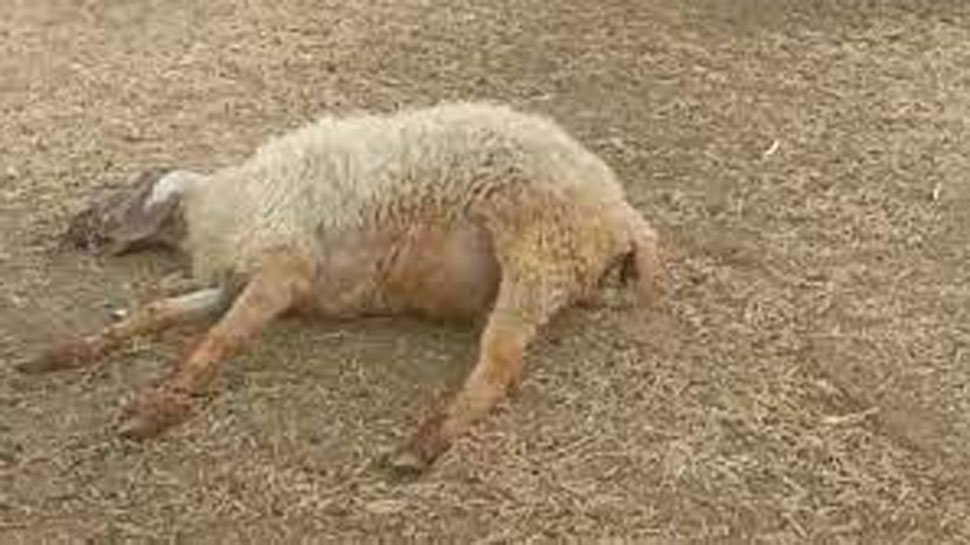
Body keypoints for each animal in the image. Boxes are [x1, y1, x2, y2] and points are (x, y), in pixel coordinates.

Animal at [20, 102, 667, 474]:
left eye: (118, 194)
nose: (71, 228)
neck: (216, 206)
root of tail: (624, 218)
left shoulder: (283, 269)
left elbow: (218, 342)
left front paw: (154, 411)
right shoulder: (236, 283)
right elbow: (152, 312)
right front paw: (61, 354)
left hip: (534, 256)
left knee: (498, 367)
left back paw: (419, 448)